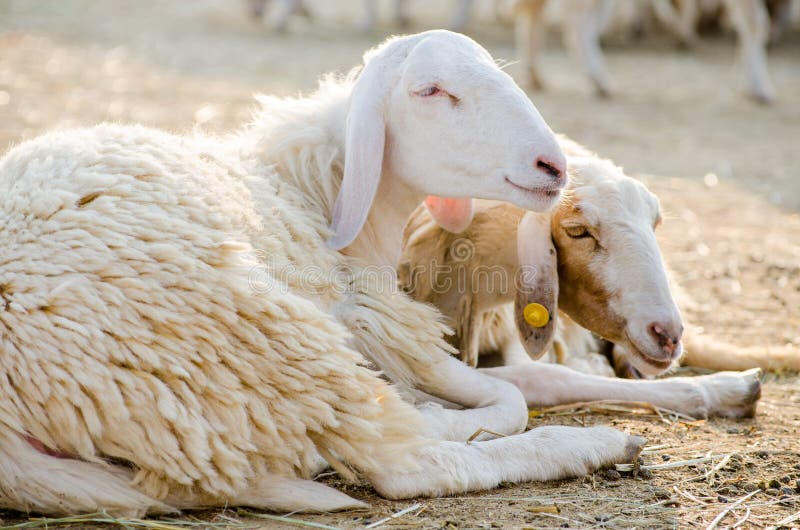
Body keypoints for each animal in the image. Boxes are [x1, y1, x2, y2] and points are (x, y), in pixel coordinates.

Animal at [0, 31, 653, 517]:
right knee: (405, 467)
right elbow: (508, 399)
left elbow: (523, 383)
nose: (553, 166)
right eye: (431, 90)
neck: (309, 187)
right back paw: (592, 442)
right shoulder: (370, 318)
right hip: (266, 342)